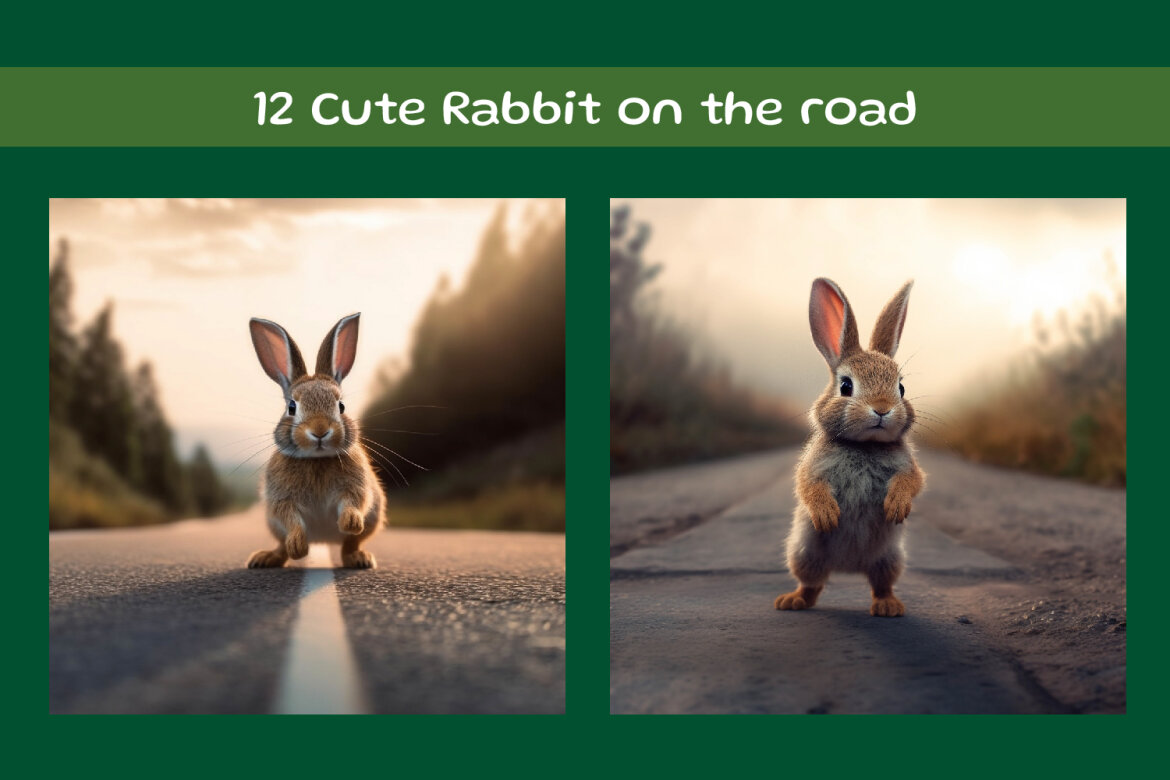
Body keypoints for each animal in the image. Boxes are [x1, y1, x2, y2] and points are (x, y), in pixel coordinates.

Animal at [245, 313, 386, 570]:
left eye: (341, 406)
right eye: (292, 407)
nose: (320, 430)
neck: (316, 459)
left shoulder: (355, 486)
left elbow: (354, 500)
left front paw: (350, 522)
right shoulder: (282, 498)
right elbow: (289, 518)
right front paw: (298, 547)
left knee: (350, 545)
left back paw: (359, 558)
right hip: (272, 524)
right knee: (281, 545)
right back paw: (266, 558)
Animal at [774, 278, 925, 617]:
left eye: (901, 387)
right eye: (846, 386)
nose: (882, 409)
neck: (864, 446)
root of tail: (847, 567)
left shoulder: (908, 467)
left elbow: (912, 481)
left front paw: (896, 506)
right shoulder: (813, 467)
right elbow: (808, 485)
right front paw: (828, 515)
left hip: (889, 559)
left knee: (881, 584)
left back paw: (888, 607)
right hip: (804, 554)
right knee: (811, 584)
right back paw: (792, 601)